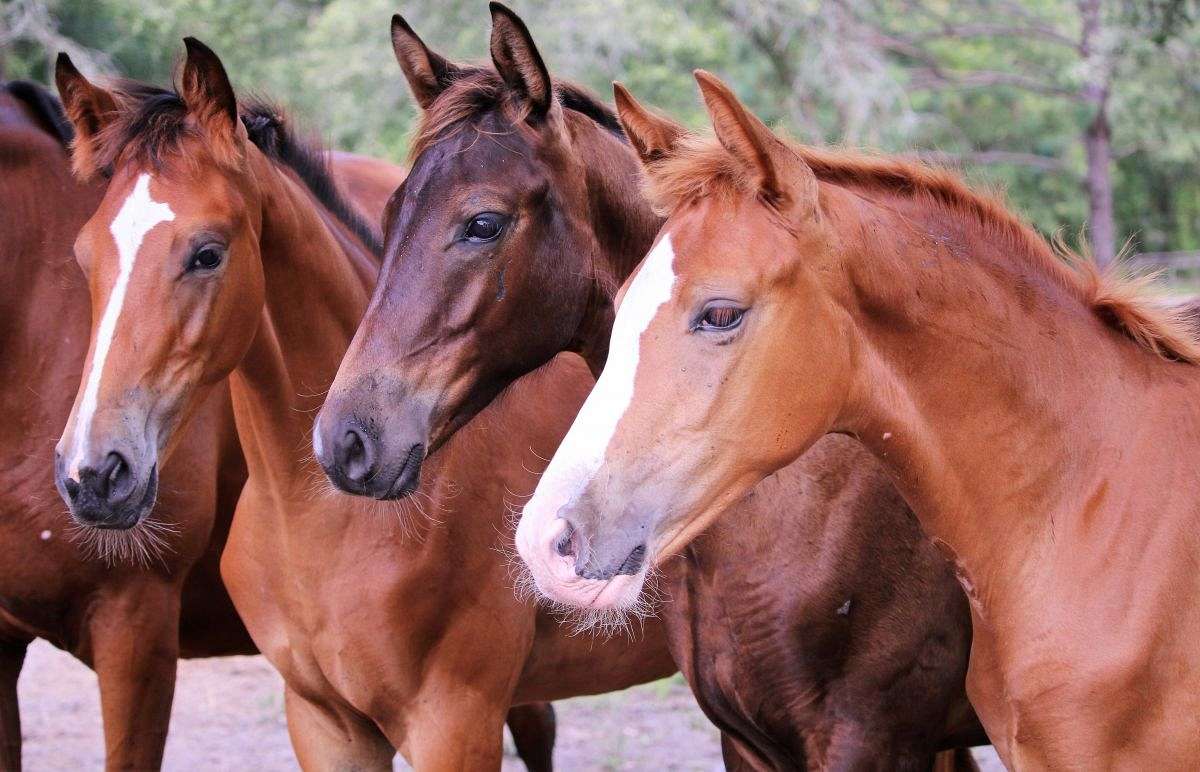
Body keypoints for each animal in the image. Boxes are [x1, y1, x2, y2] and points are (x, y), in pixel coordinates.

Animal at [52, 40, 675, 770]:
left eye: (207, 253)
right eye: (83, 255)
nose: (94, 473)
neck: (315, 518)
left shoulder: (454, 723)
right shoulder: (323, 719)